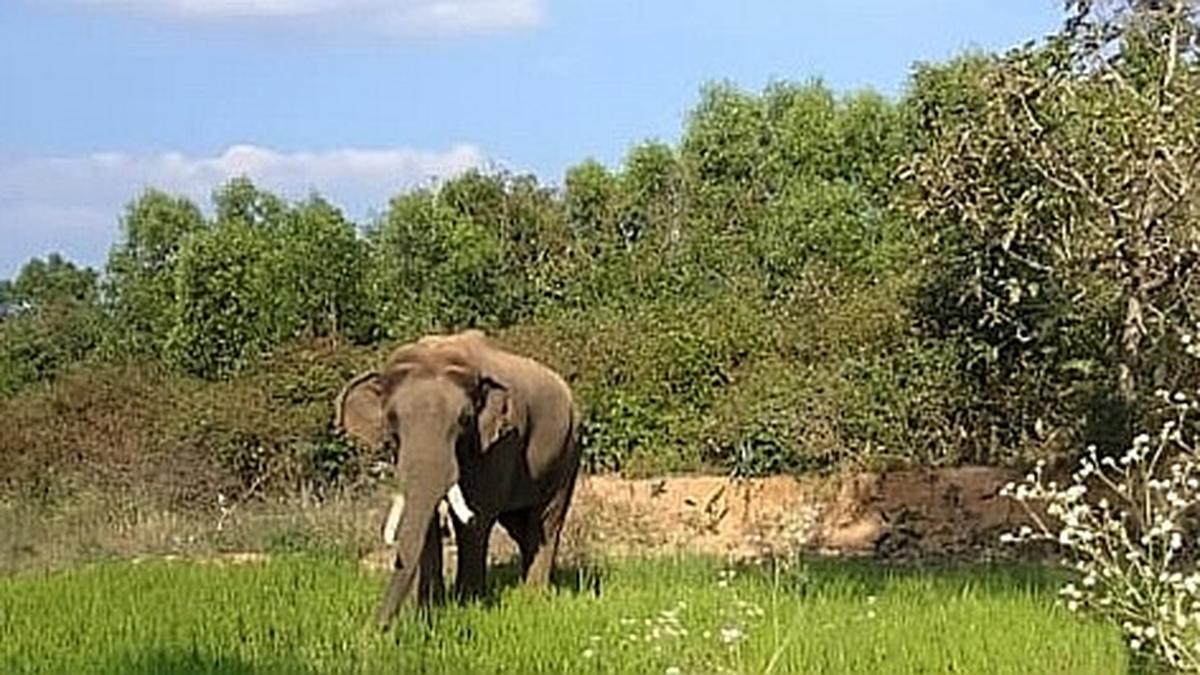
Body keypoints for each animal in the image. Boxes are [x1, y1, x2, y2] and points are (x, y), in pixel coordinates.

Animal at [334, 329, 581, 627]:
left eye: (464, 420)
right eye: (391, 419)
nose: (375, 629)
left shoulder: (501, 441)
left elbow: (475, 520)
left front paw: (467, 605)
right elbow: (427, 522)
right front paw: (429, 608)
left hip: (568, 451)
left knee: (545, 521)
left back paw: (534, 597)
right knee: (521, 526)